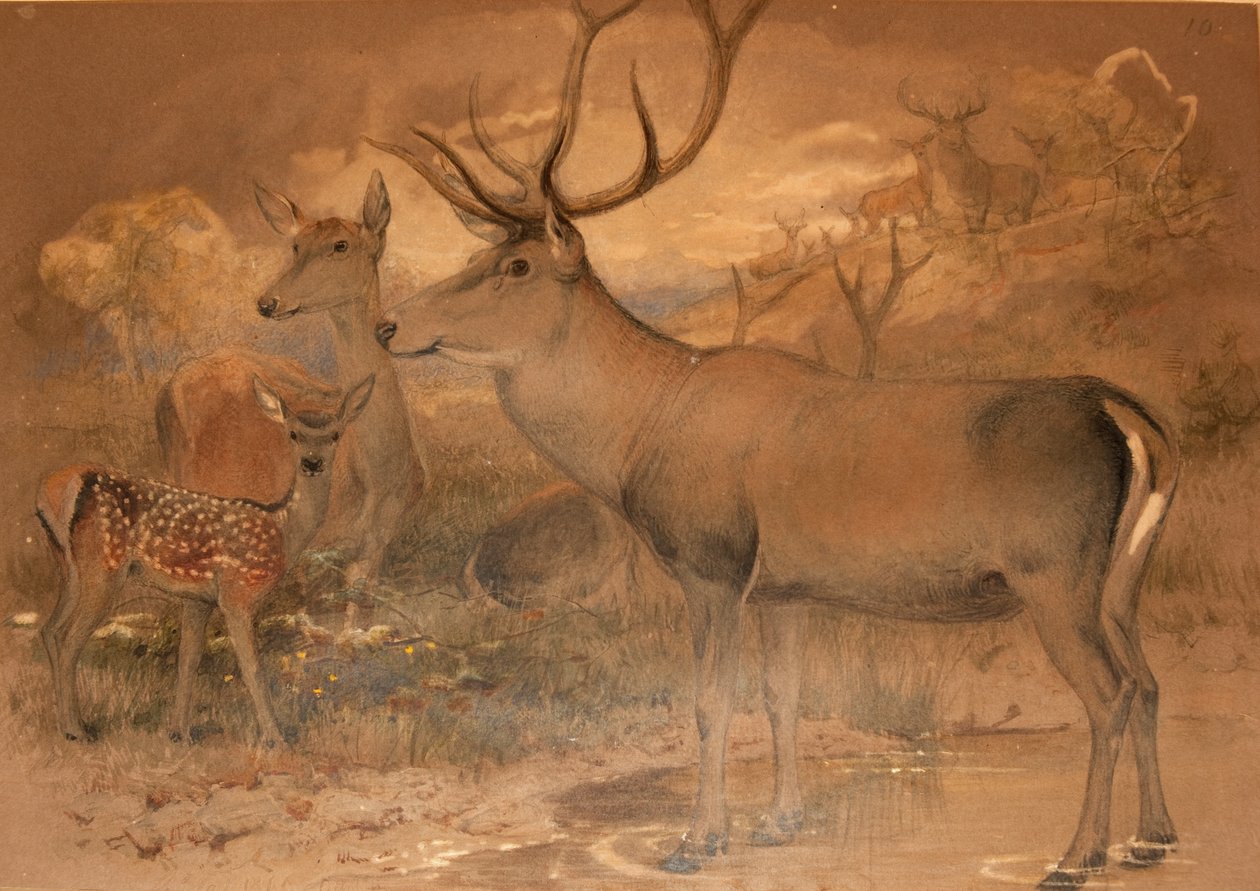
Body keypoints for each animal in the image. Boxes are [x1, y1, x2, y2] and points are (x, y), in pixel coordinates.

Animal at [38, 375, 374, 746]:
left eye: (335, 435)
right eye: (293, 434)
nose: (312, 463)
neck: (283, 529)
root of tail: (54, 490)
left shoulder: (198, 598)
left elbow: (188, 660)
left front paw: (178, 732)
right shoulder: (235, 591)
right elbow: (252, 667)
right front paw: (276, 737)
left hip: (68, 566)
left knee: (50, 630)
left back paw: (65, 724)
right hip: (104, 565)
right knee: (70, 640)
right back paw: (76, 729)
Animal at [158, 172, 423, 627]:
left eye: (341, 245)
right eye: (296, 246)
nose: (268, 301)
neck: (376, 476)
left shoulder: (374, 549)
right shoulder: (307, 554)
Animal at [898, 80, 1040, 233]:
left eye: (961, 128)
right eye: (941, 129)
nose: (955, 142)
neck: (963, 184)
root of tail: (1035, 176)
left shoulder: (983, 200)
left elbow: (980, 228)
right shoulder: (963, 205)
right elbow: (971, 229)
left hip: (1027, 200)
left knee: (1027, 219)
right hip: (1013, 209)